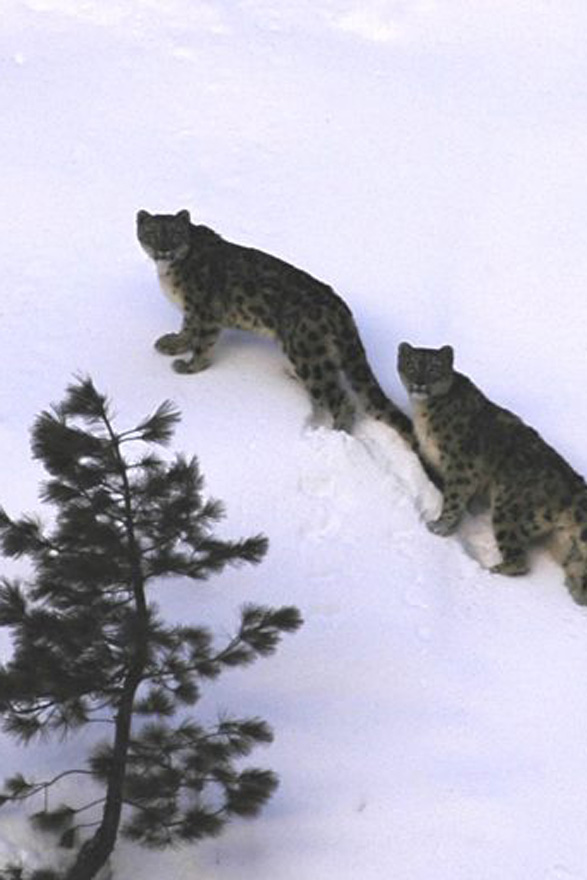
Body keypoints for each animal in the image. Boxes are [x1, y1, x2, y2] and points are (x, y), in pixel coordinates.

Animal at [137, 208, 412, 442]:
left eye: (174, 233)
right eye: (153, 233)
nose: (164, 250)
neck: (167, 273)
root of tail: (340, 308)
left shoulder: (204, 312)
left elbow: (202, 344)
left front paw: (188, 367)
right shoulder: (191, 312)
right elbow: (186, 330)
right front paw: (171, 344)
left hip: (310, 357)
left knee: (341, 399)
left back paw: (337, 433)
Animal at [397, 341, 587, 605]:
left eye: (434, 368)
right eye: (412, 364)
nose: (420, 382)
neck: (424, 412)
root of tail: (574, 485)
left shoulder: (460, 466)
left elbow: (453, 499)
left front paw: (439, 526)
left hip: (508, 510)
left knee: (519, 561)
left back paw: (491, 571)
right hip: (568, 547)